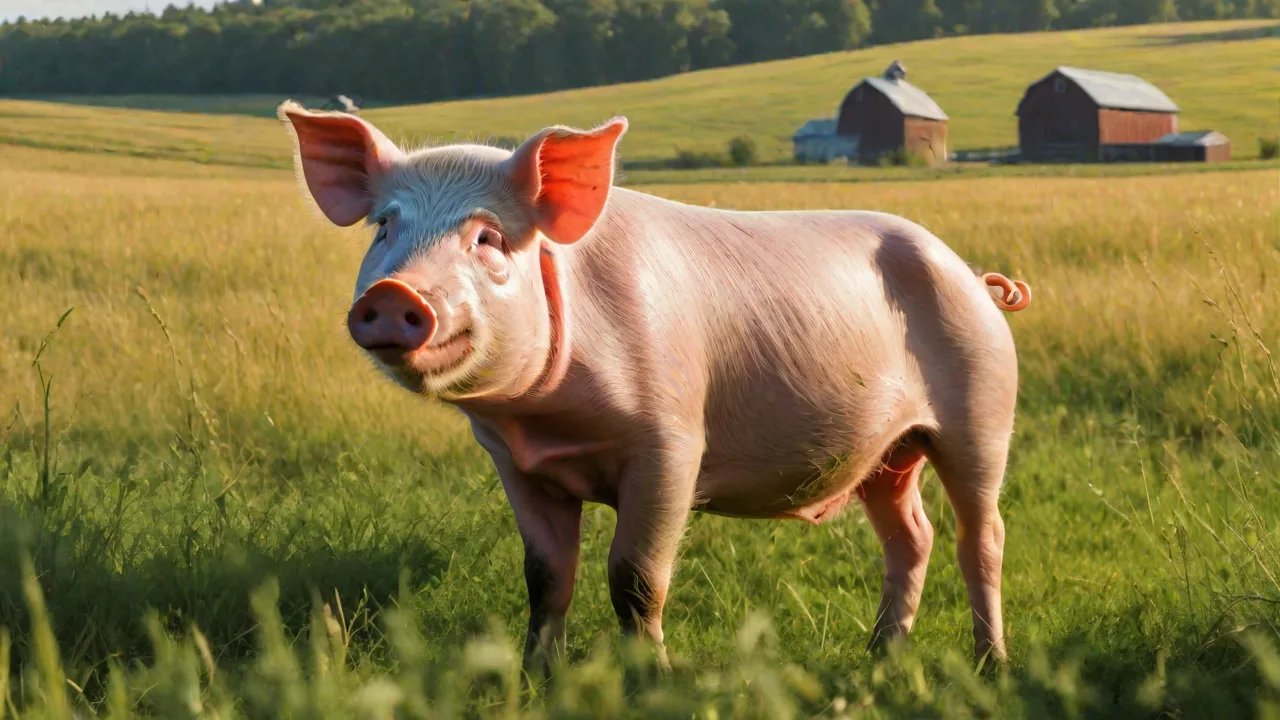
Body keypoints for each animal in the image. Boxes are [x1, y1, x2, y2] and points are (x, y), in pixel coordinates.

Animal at [277, 101, 1033, 673]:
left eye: (488, 237)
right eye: (384, 226)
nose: (391, 294)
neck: (550, 423)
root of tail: (974, 275)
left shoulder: (671, 444)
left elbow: (636, 579)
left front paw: (653, 682)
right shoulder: (514, 461)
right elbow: (545, 575)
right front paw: (534, 679)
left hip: (982, 407)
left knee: (982, 534)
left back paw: (990, 665)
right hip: (886, 452)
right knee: (912, 536)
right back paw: (878, 659)